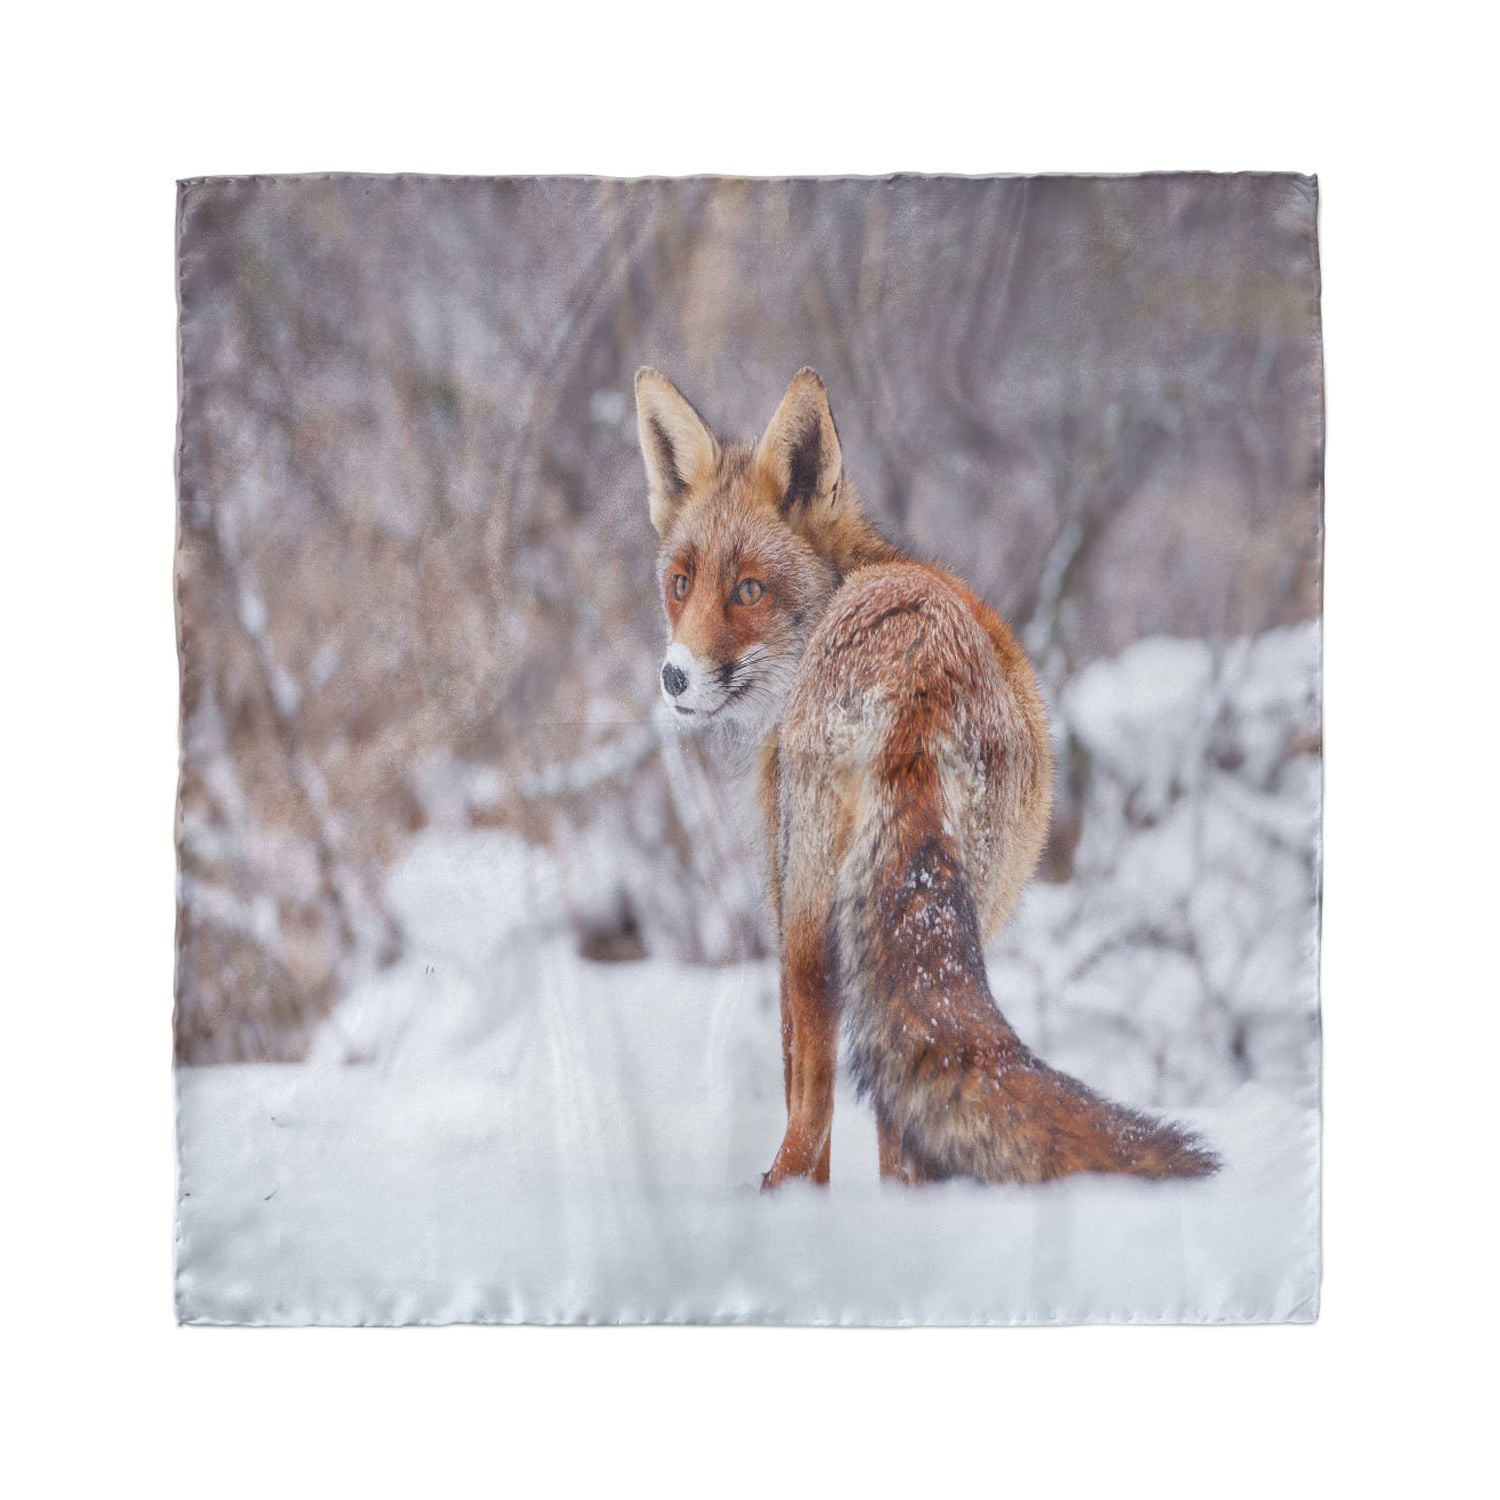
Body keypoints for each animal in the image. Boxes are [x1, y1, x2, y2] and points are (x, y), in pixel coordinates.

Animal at [636, 366, 1218, 1189]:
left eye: (749, 590)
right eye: (681, 582)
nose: (675, 677)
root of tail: (921, 673)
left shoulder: (784, 907)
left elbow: (804, 1098)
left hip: (814, 928)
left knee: (811, 1118)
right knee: (905, 1111)